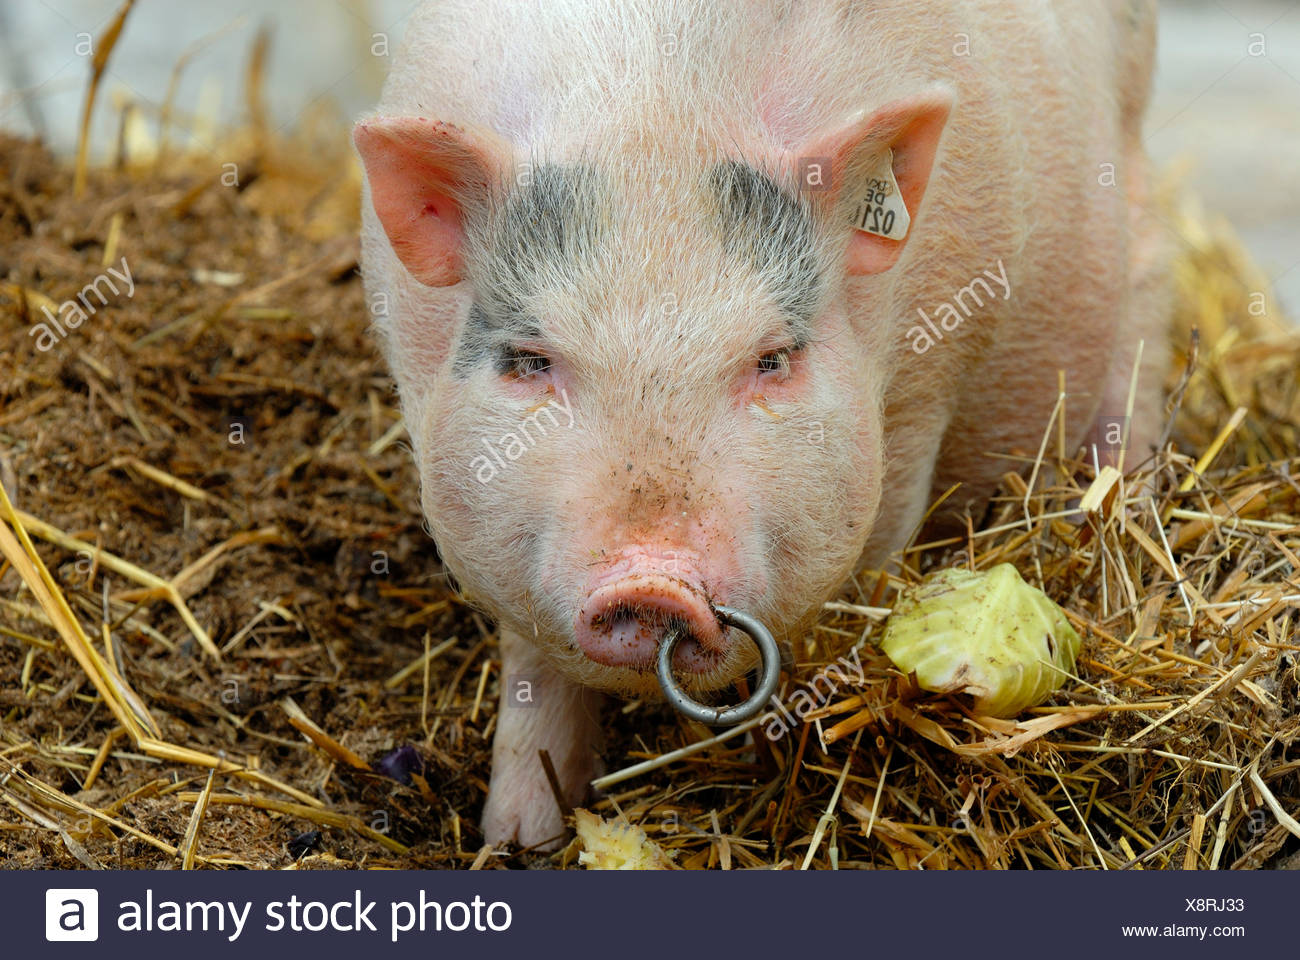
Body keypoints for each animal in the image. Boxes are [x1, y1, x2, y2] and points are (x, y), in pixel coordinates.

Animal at [354, 0, 1170, 849]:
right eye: (529, 359)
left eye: (772, 358)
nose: (655, 580)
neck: (654, 107)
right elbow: (534, 674)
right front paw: (517, 840)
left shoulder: (920, 404)